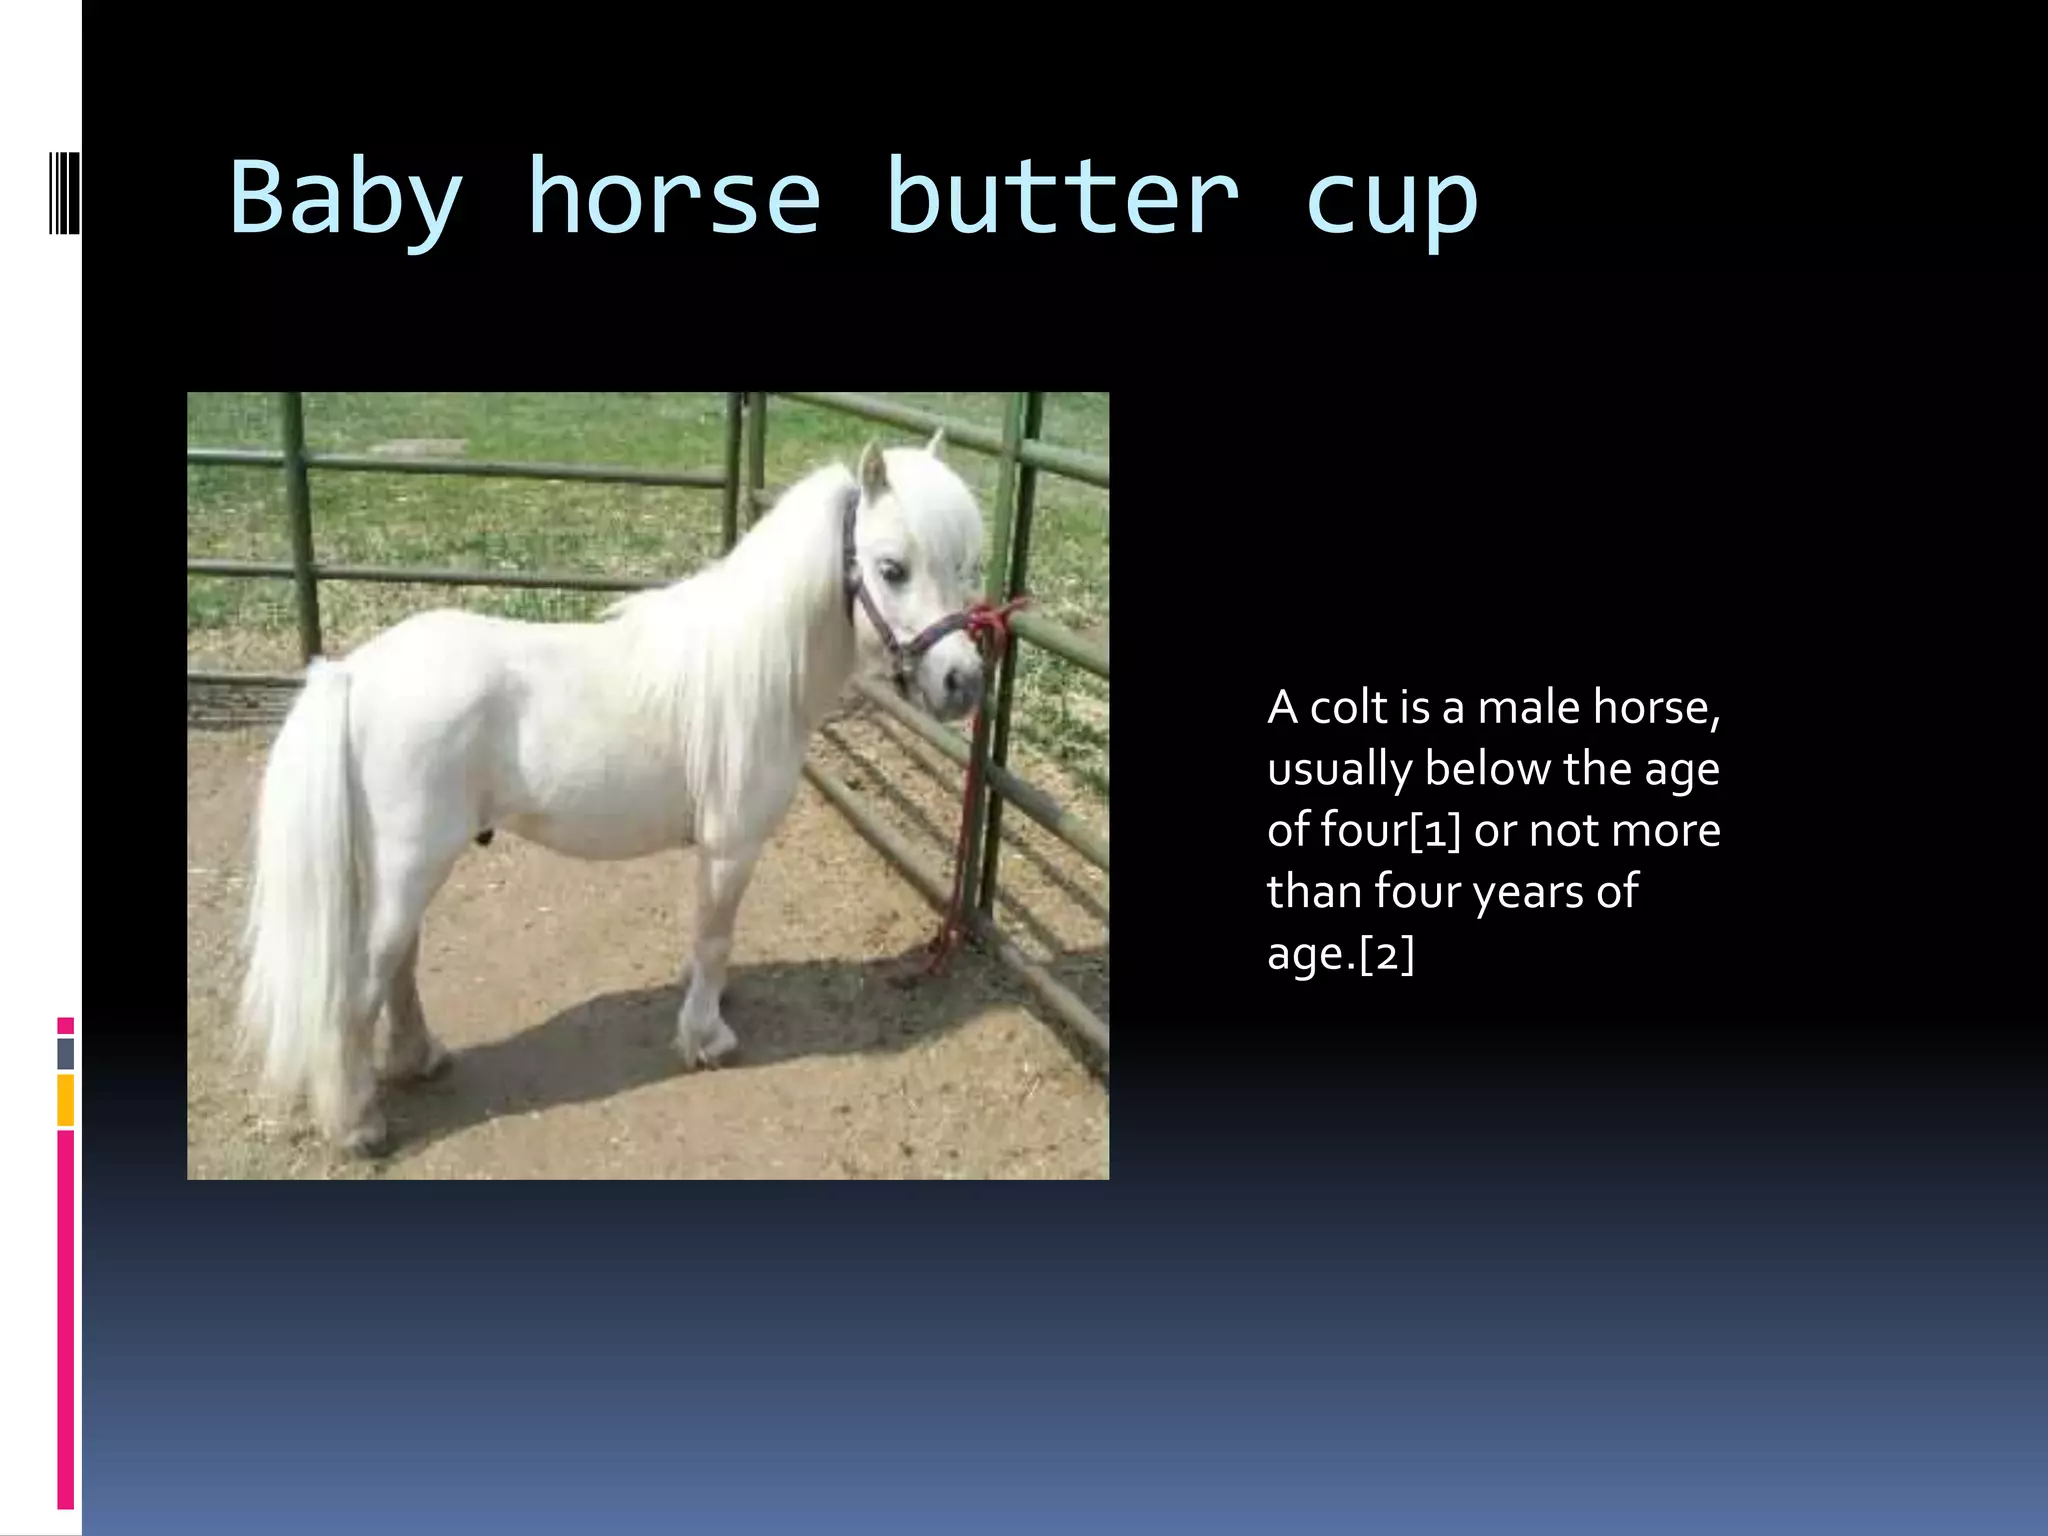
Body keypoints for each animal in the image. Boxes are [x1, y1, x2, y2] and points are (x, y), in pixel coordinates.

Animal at [235, 432, 990, 1157]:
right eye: (891, 568)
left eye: (965, 566)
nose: (965, 683)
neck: (761, 670)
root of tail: (354, 674)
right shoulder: (732, 846)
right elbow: (715, 937)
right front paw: (705, 1039)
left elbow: (705, 934)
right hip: (410, 865)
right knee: (359, 986)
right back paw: (359, 1124)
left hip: (408, 873)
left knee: (398, 966)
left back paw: (420, 1060)